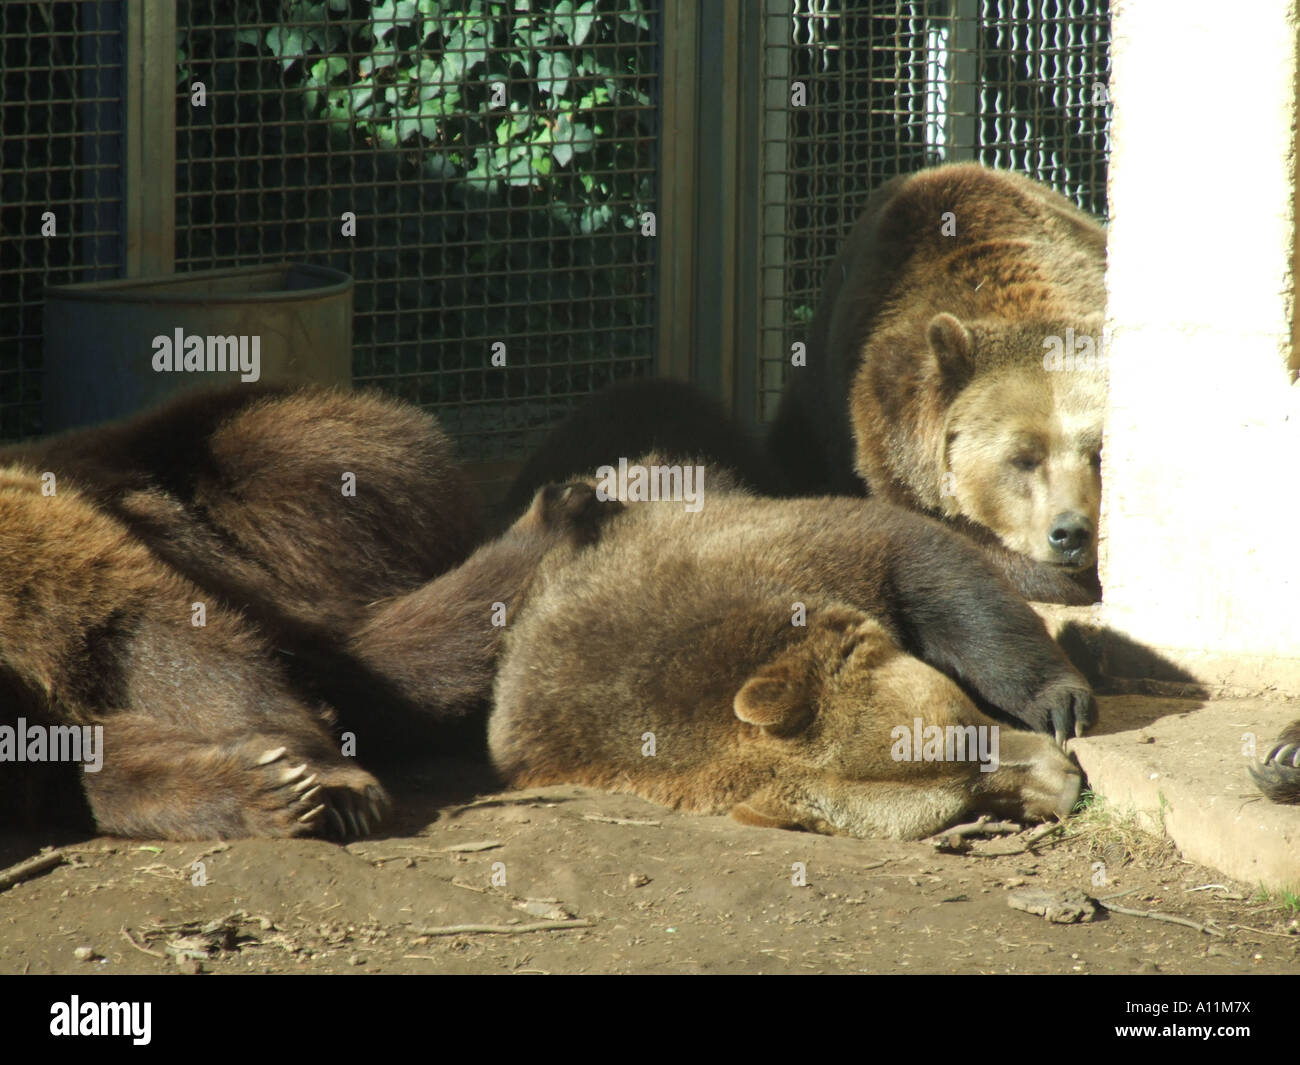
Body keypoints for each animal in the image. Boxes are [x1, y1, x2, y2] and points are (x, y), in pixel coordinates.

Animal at [489, 492, 1093, 840]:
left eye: (964, 723)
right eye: (962, 803)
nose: (1067, 784)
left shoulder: (798, 548)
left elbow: (943, 578)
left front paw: (1059, 702)